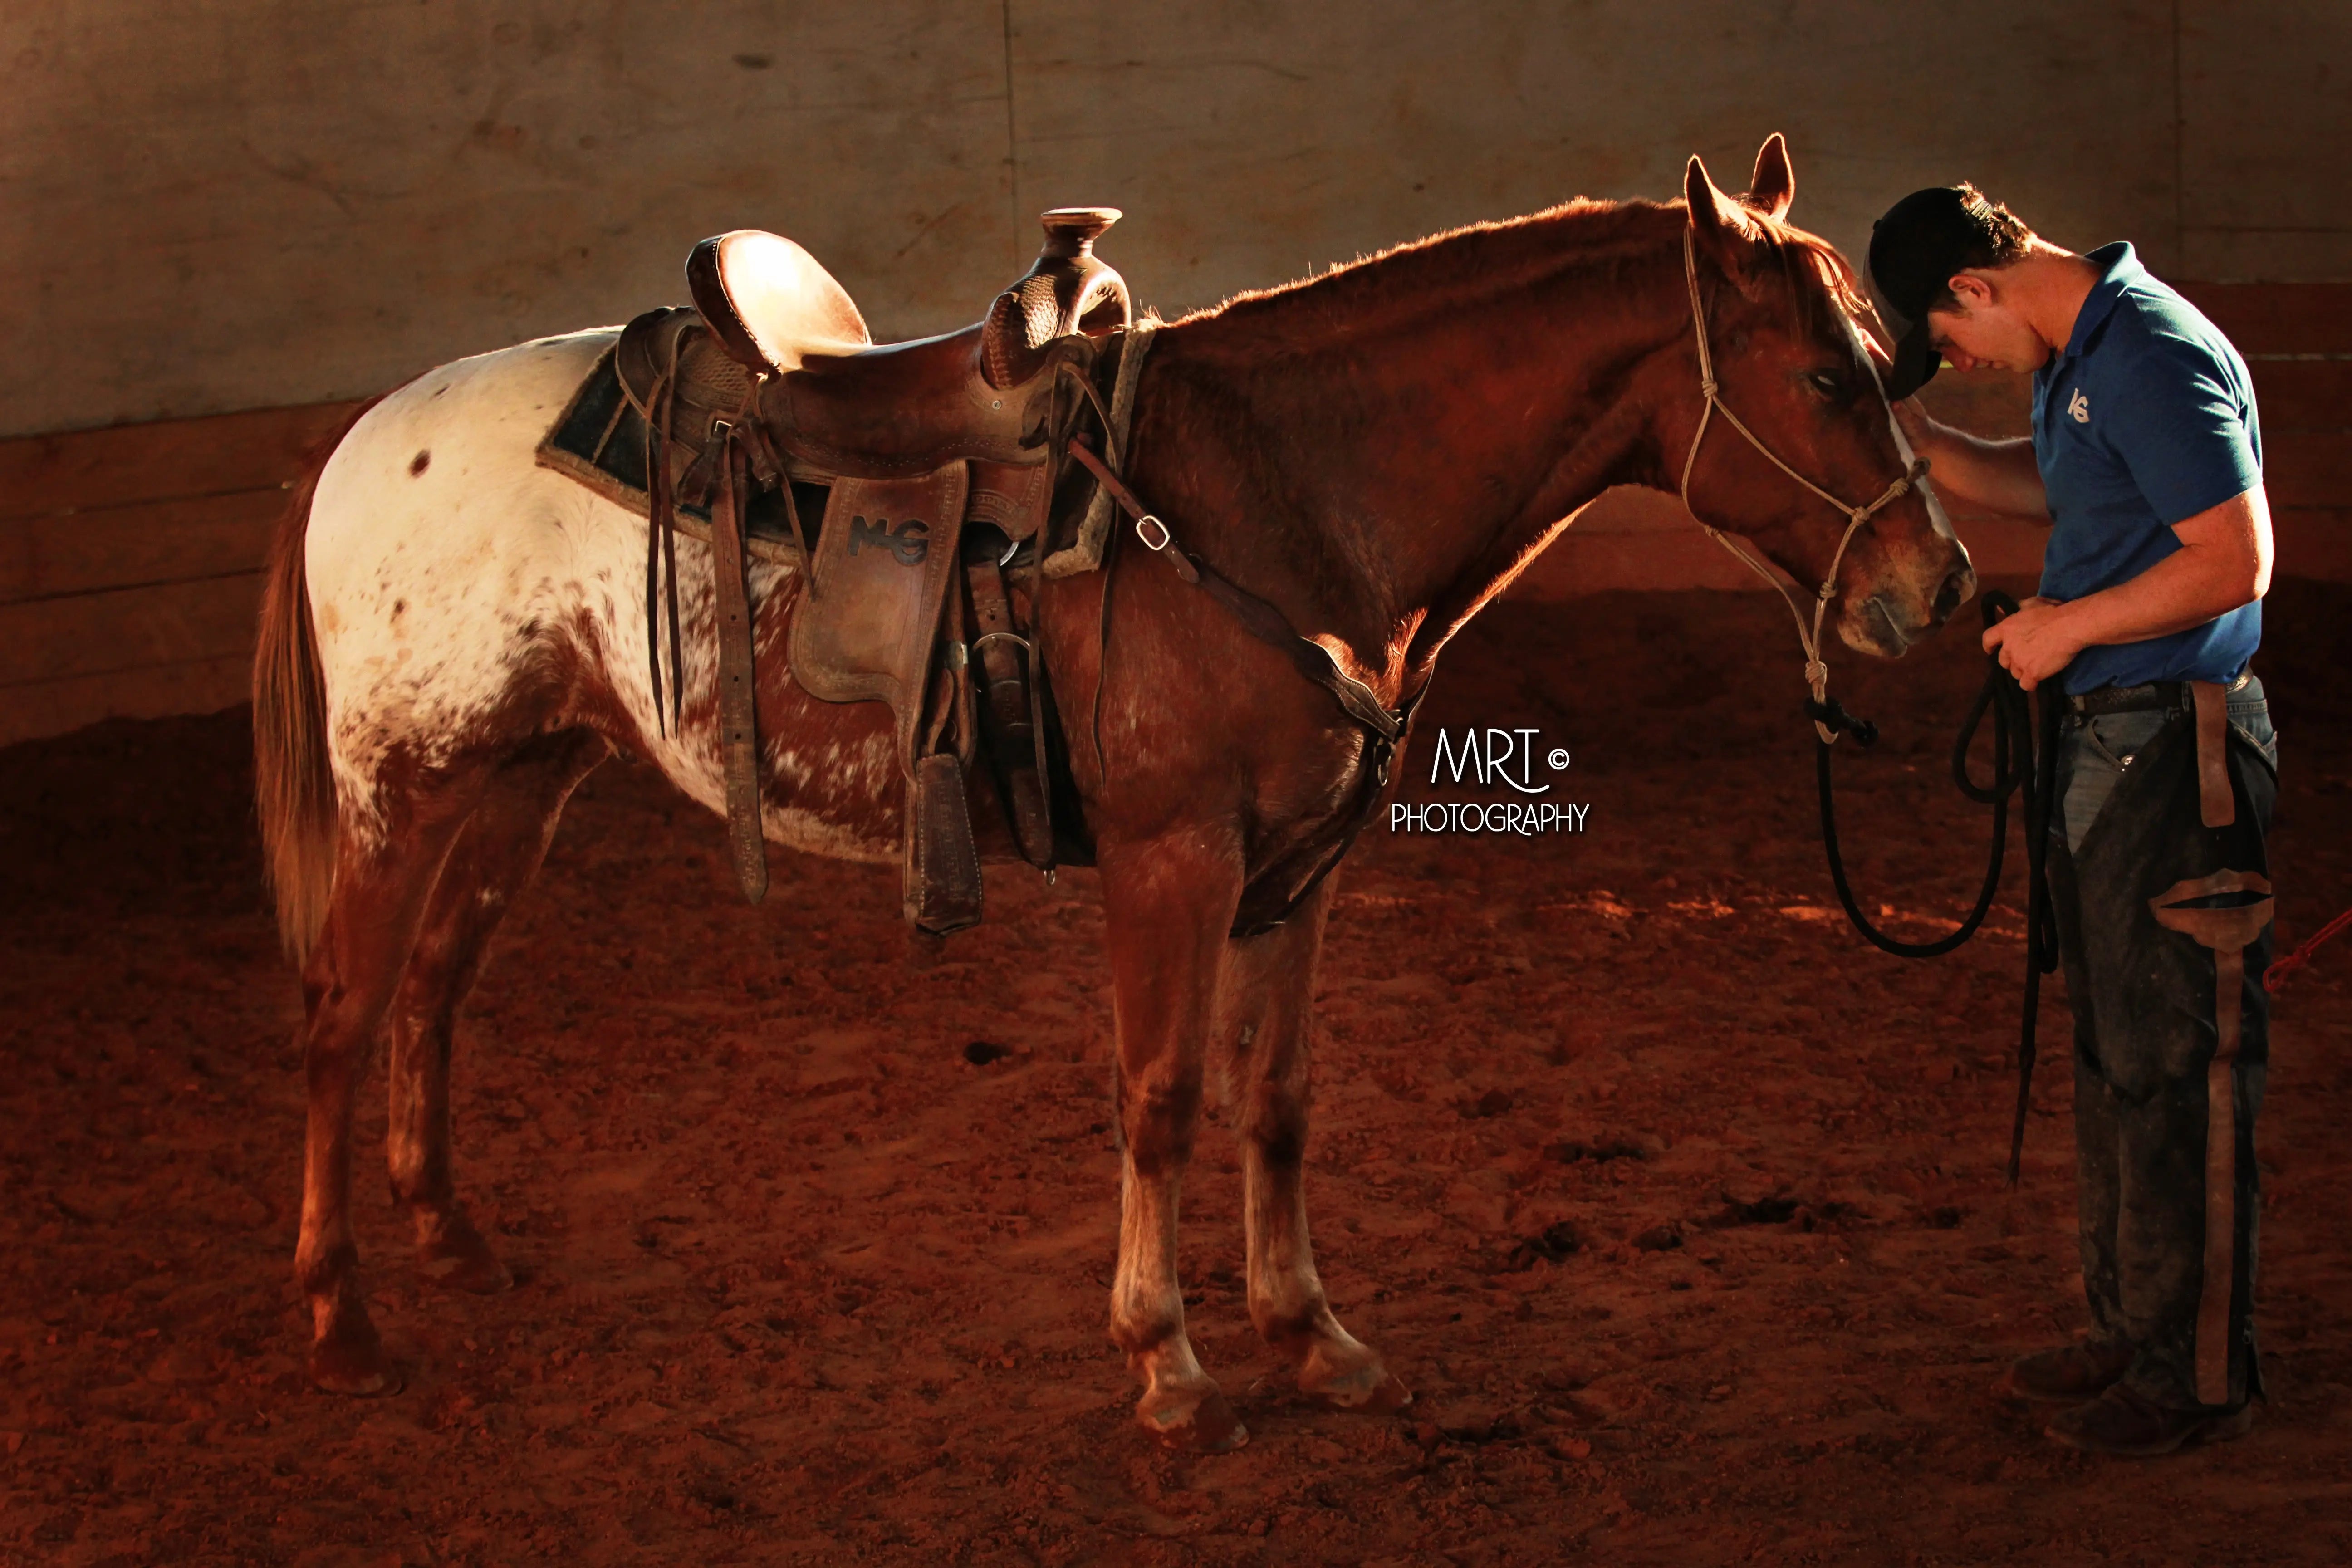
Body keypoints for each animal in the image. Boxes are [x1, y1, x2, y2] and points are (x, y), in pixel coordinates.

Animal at [252, 136, 1974, 1451]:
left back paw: (452, 1240)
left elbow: (1278, 1100)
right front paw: (1169, 1363)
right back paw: (339, 1318)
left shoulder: (1298, 868)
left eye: (1890, 363)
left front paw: (1309, 1334)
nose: (1938, 583)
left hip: (524, 773)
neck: (1279, 490)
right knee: (342, 1014)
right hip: (402, 789)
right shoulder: (1174, 862)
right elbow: (1161, 1098)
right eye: (1830, 374)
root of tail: (359, 443)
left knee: (435, 992)